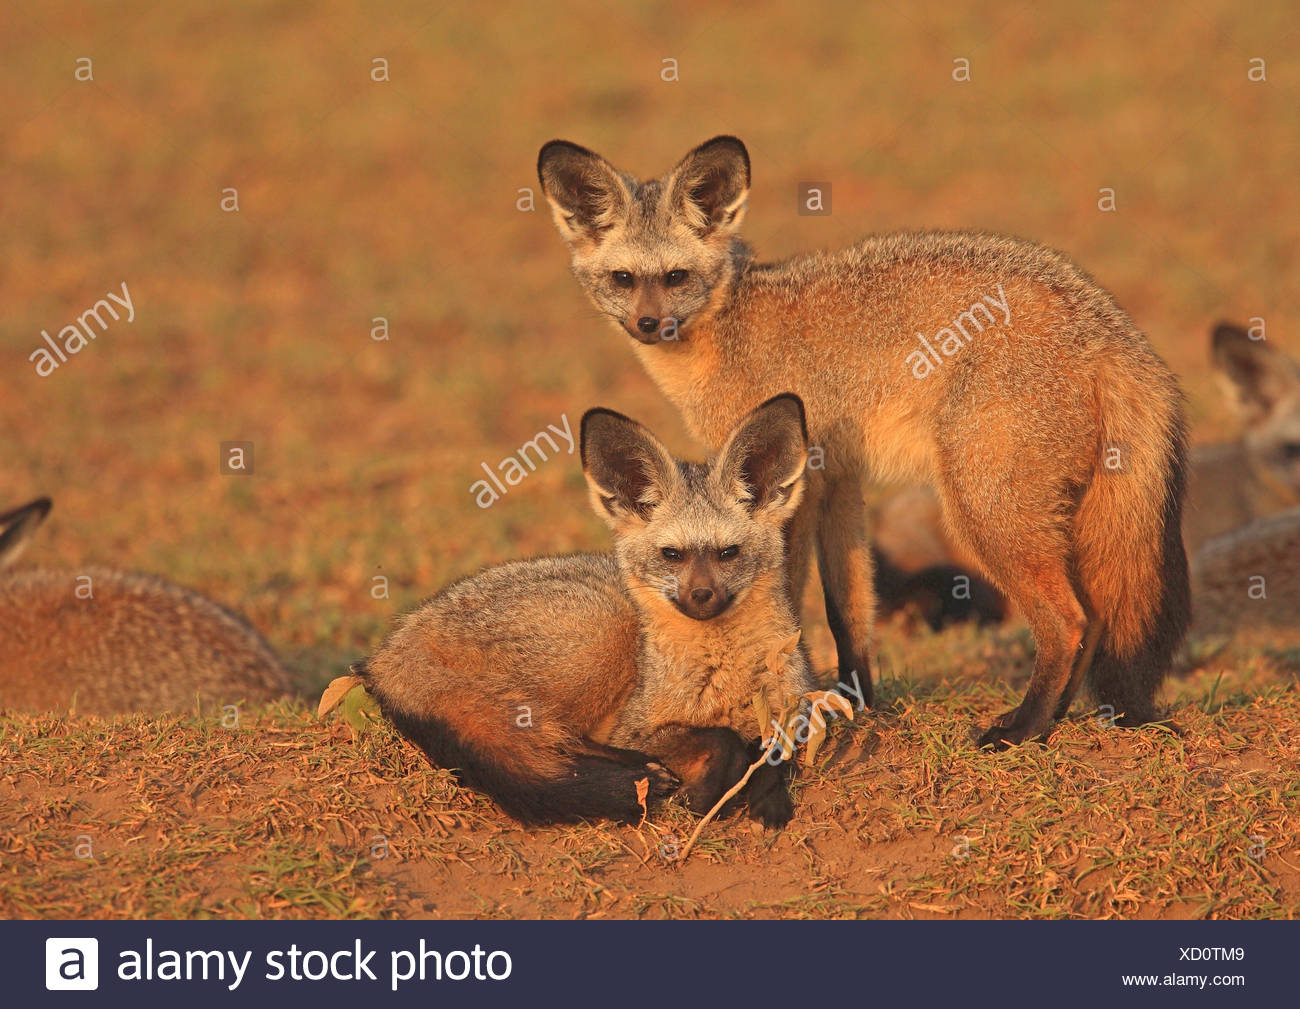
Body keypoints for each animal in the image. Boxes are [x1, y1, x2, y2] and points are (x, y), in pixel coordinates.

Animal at [359, 394, 819, 827]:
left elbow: (770, 753)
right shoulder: (636, 727)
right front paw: (705, 793)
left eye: (728, 553)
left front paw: (768, 799)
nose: (701, 595)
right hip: (606, 632)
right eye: (671, 555)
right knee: (563, 741)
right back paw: (643, 776)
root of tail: (390, 650)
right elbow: (723, 741)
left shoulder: (795, 713)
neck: (722, 679)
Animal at [538, 135, 1190, 748]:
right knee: (1098, 619)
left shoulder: (787, 488)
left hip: (982, 510)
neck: (727, 331)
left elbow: (787, 599)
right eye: (624, 280)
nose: (648, 325)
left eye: (675, 277)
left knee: (1070, 621)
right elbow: (848, 608)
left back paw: (1023, 729)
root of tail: (1107, 327)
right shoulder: (837, 480)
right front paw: (858, 701)